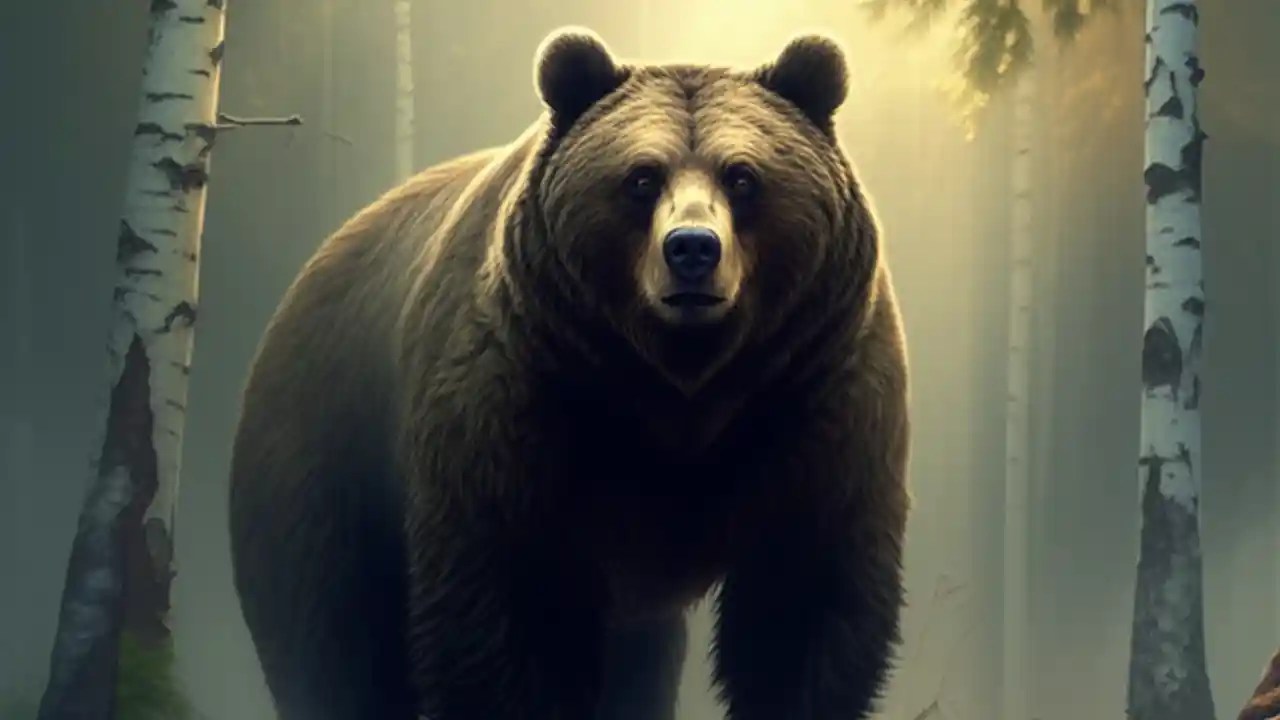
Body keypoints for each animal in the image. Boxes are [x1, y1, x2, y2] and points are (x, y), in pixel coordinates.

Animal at [228, 26, 911, 720]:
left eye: (743, 176)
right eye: (641, 177)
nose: (692, 248)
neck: (682, 384)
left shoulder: (814, 389)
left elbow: (805, 600)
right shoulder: (525, 395)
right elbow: (506, 606)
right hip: (325, 447)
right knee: (330, 638)